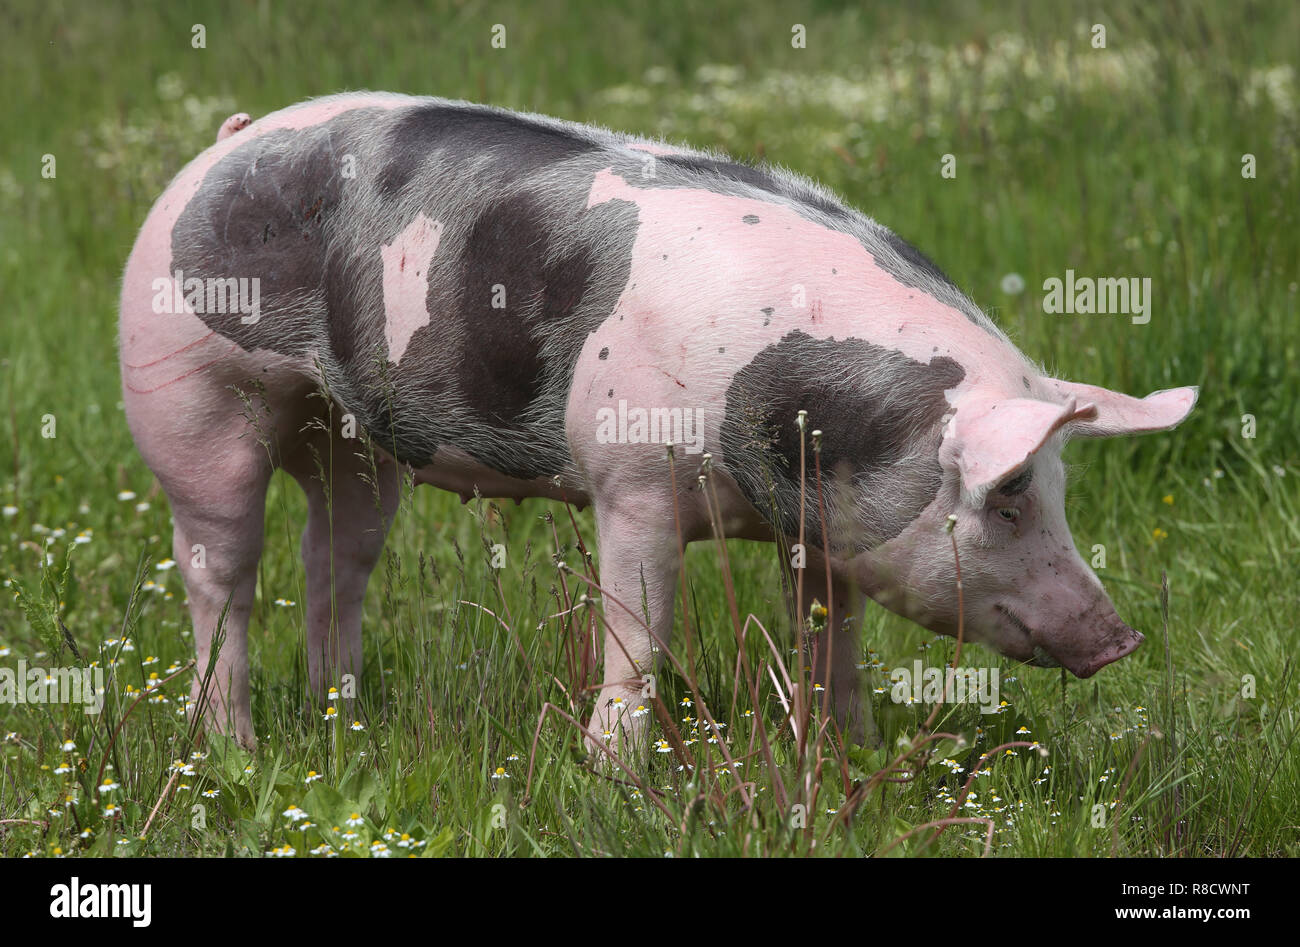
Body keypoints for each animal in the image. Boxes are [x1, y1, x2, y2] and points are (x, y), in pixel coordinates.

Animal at [119, 92, 1196, 753]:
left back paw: (341, 720)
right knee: (219, 566)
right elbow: (639, 633)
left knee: (335, 553)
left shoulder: (823, 529)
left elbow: (830, 637)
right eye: (1006, 498)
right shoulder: (629, 478)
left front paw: (847, 752)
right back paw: (233, 746)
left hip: (351, 434)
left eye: (1056, 489)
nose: (1122, 637)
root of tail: (226, 140)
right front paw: (615, 777)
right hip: (186, 388)